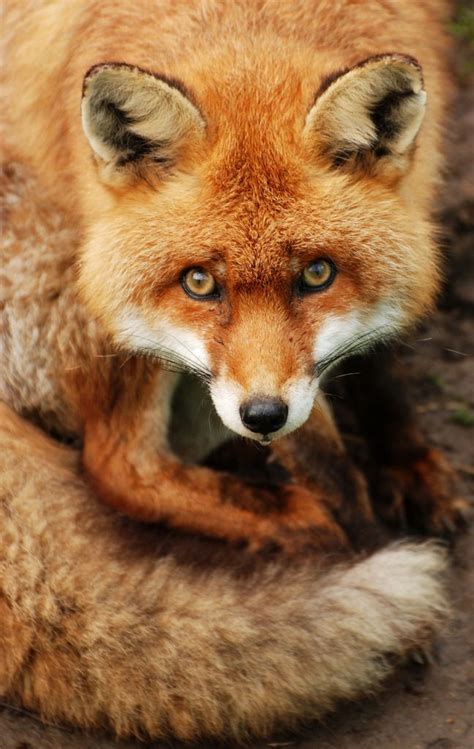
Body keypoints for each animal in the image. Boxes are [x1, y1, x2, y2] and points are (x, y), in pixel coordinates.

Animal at [0, 0, 469, 741]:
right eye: (199, 283)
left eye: (317, 275)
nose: (262, 416)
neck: (251, 20)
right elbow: (330, 469)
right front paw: (366, 541)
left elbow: (380, 359)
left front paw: (411, 463)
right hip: (93, 282)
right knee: (121, 467)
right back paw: (308, 533)